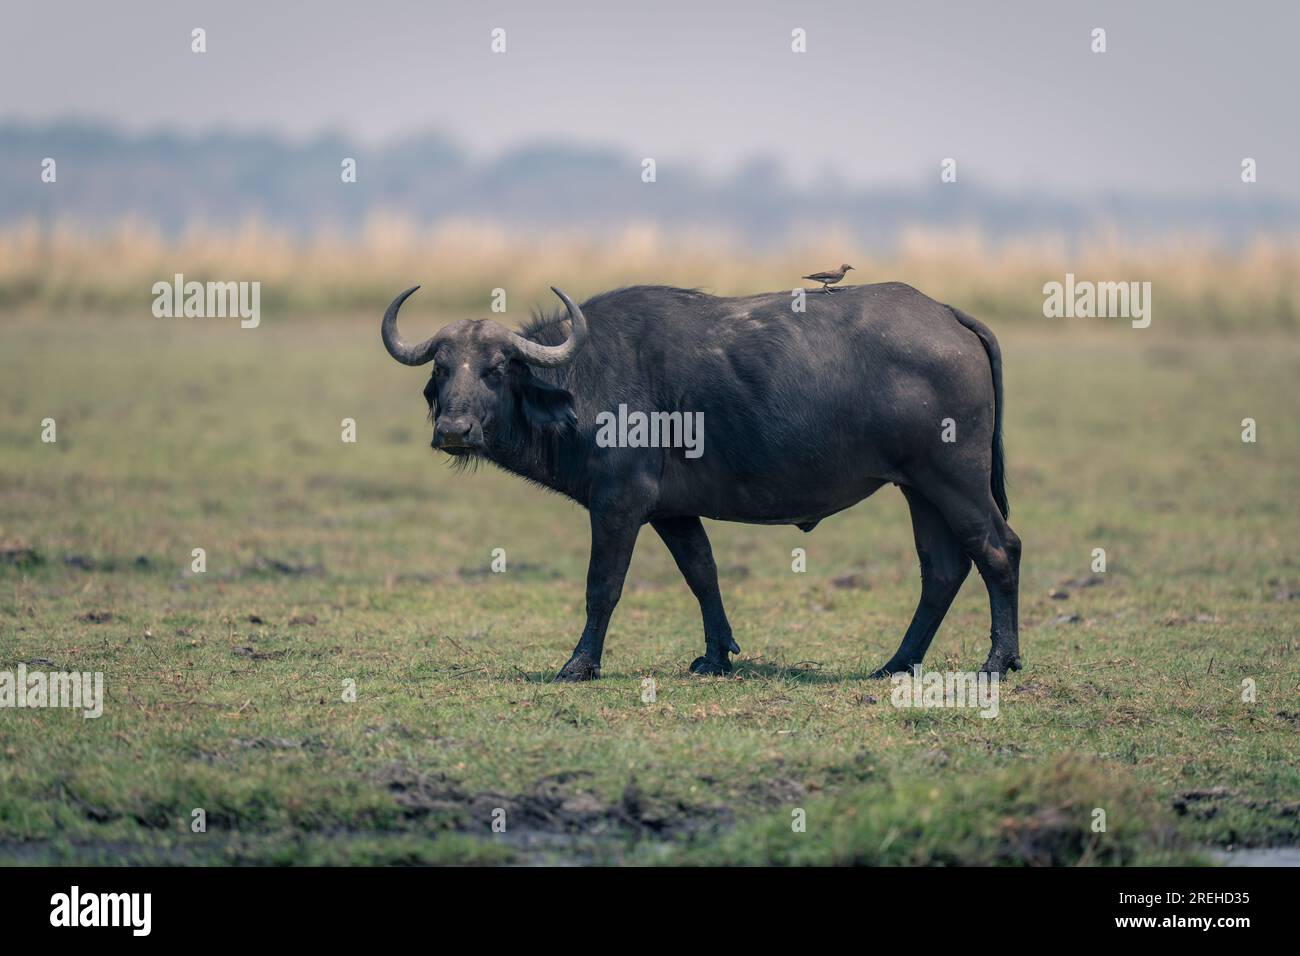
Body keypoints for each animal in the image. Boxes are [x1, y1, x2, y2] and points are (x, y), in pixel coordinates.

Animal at [382, 282, 1021, 681]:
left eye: (495, 369)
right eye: (444, 368)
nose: (454, 430)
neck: (581, 380)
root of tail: (947, 314)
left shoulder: (619, 503)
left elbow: (603, 586)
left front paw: (579, 665)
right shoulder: (671, 511)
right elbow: (702, 574)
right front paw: (716, 656)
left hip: (955, 480)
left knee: (998, 550)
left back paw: (998, 662)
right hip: (919, 489)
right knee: (942, 570)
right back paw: (896, 663)